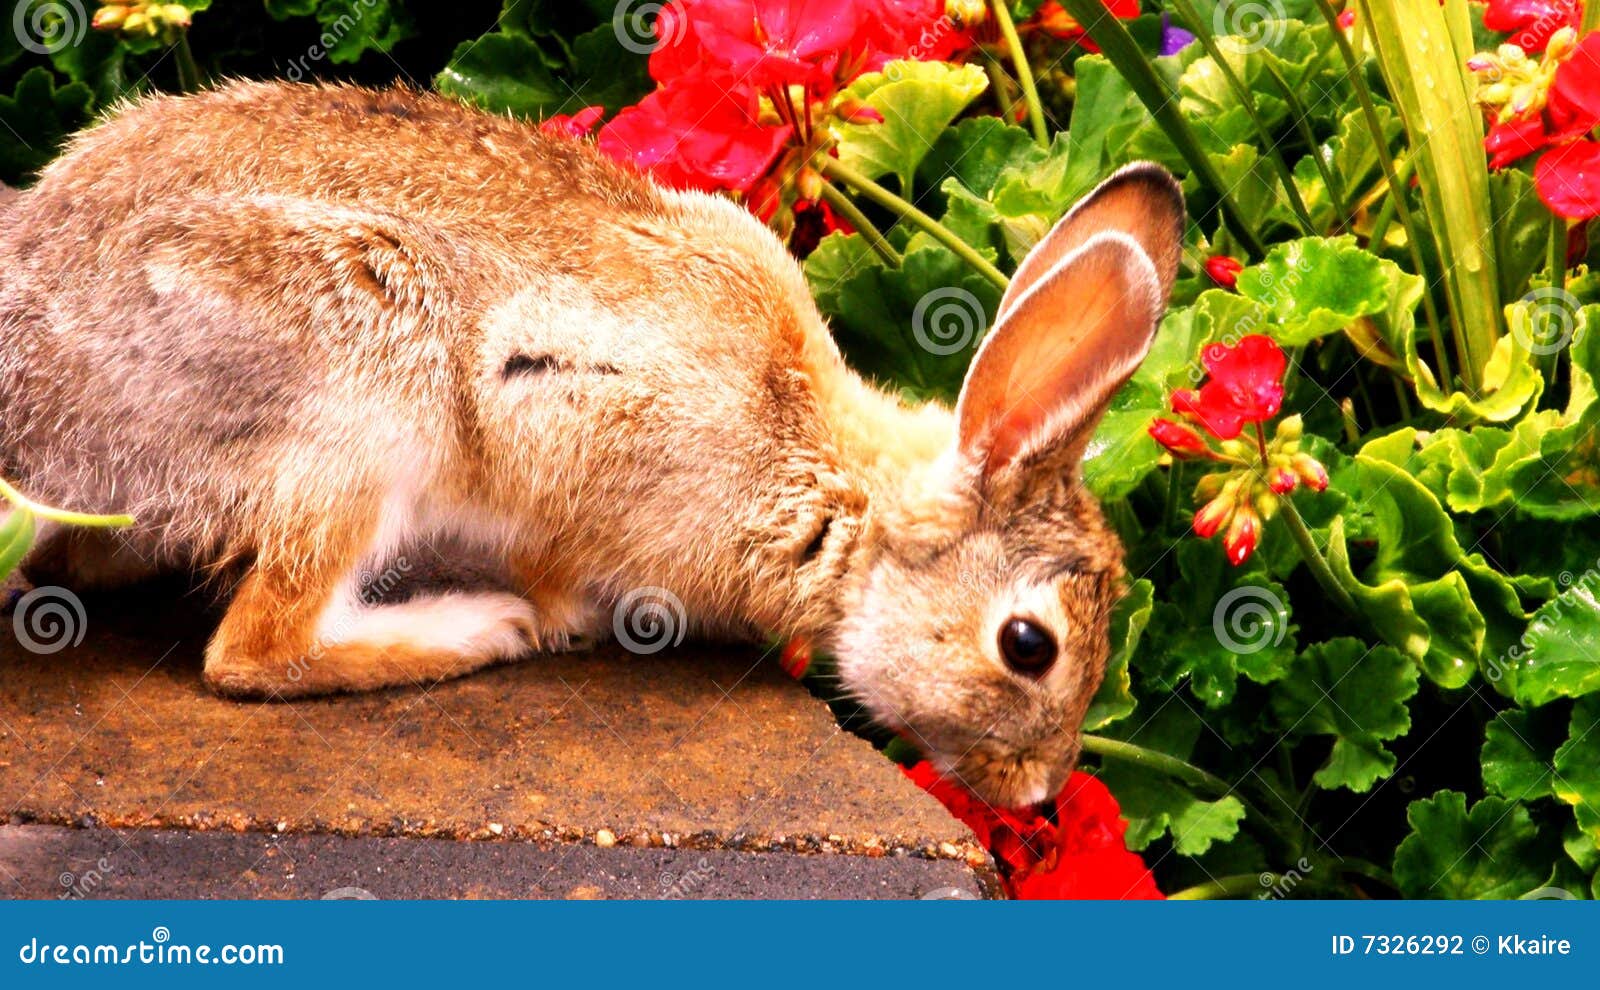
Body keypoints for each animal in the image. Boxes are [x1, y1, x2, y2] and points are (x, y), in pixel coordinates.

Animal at [0, 81, 1183, 808]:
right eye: (1027, 647)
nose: (1035, 790)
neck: (831, 489)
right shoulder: (561, 406)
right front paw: (557, 609)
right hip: (367, 373)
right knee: (257, 648)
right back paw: (485, 627)